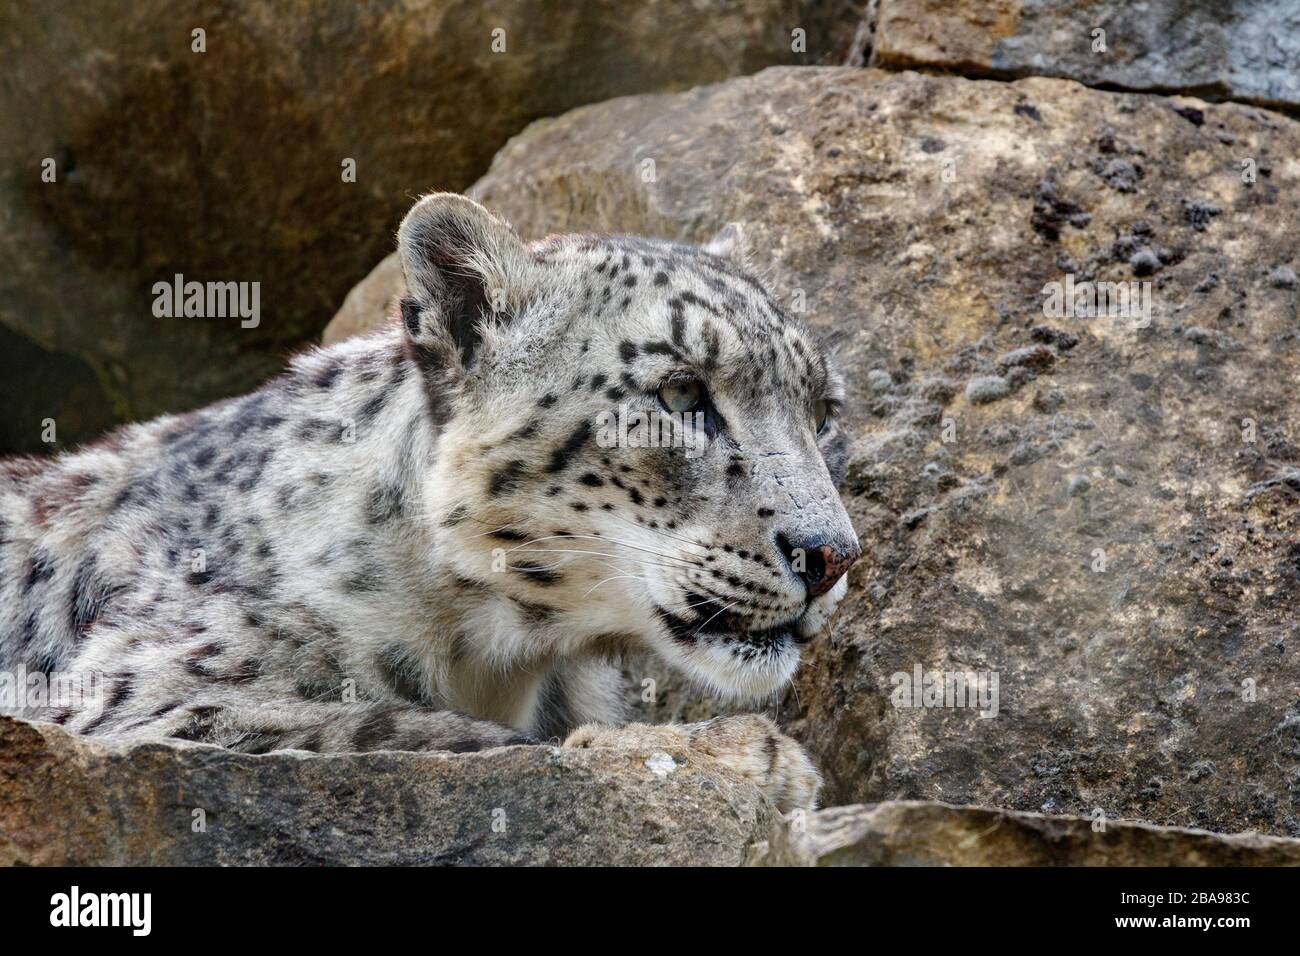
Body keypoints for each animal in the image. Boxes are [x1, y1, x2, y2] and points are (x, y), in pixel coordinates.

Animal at [0, 194, 860, 813]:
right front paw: (747, 758)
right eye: (681, 392)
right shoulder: (134, 695)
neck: (504, 659)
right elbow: (412, 730)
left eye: (822, 412)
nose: (832, 555)